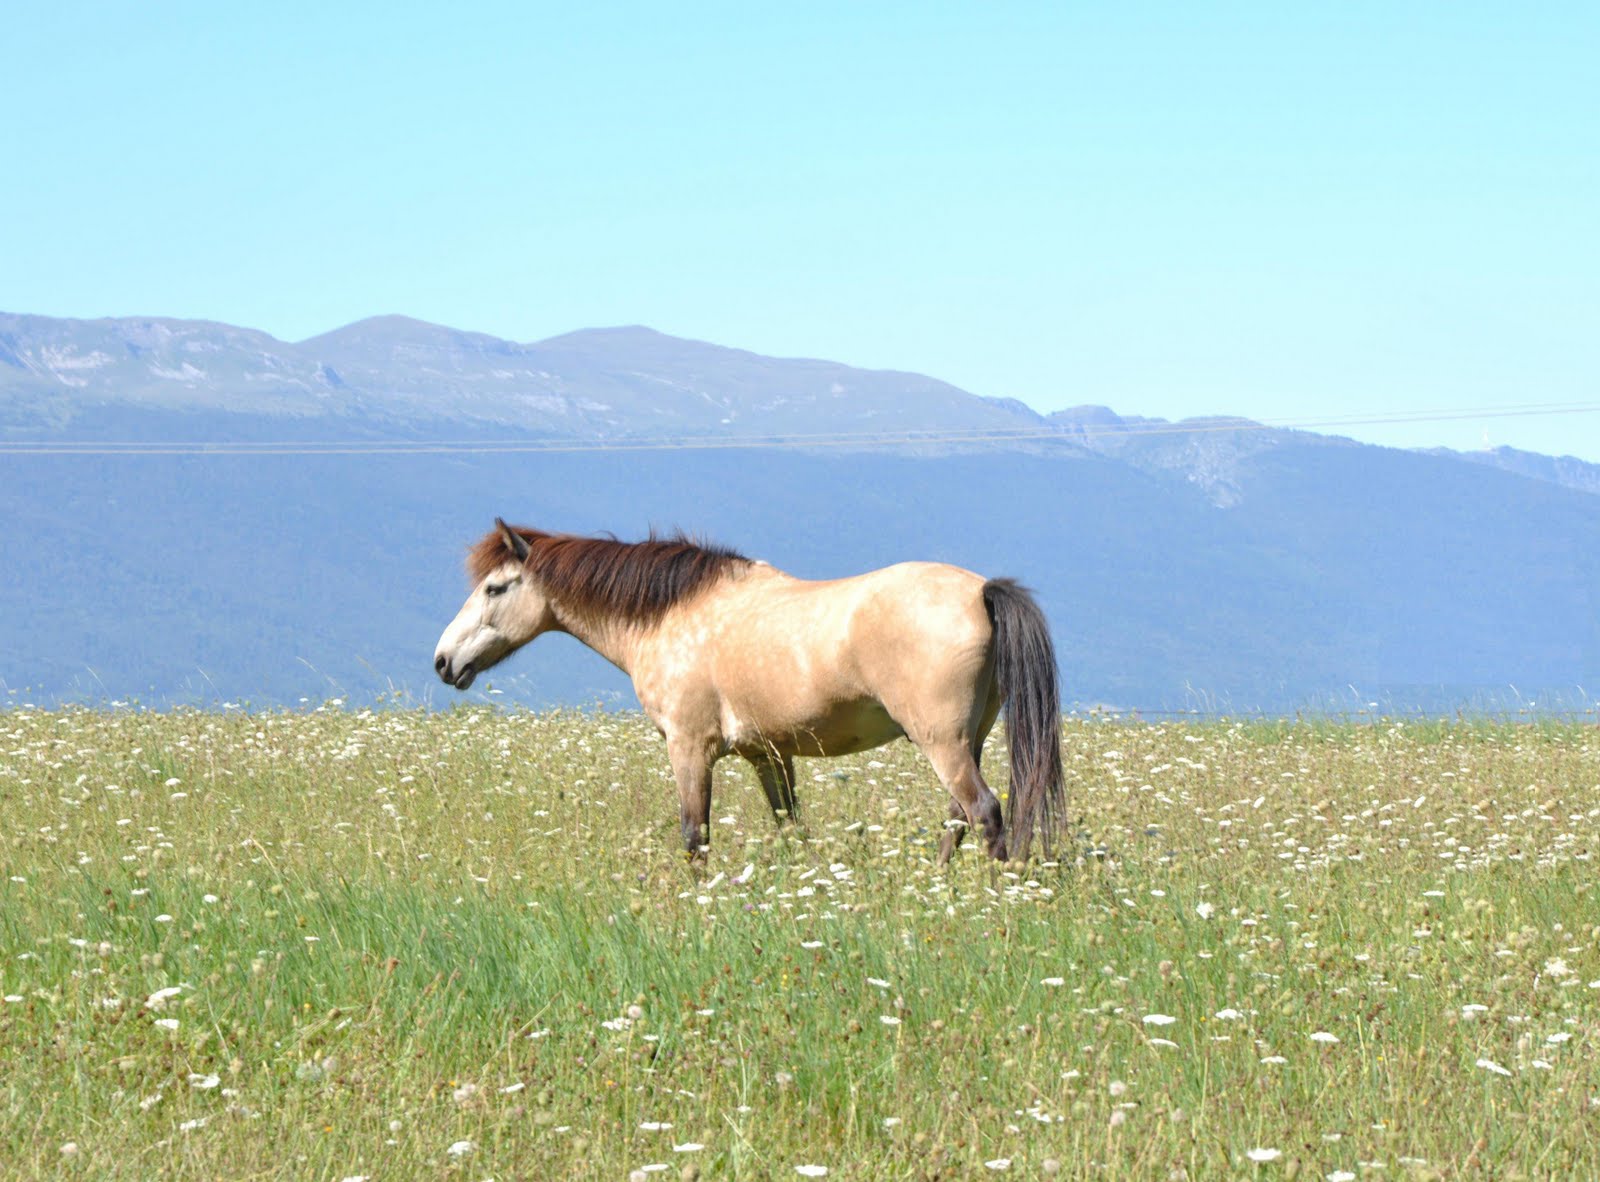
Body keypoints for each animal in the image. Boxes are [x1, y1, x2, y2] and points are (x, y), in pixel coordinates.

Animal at [433, 520, 1065, 864]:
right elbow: (791, 830)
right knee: (957, 818)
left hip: (943, 743)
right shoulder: (770, 756)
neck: (672, 613)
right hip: (968, 740)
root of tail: (982, 591)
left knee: (984, 812)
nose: (444, 661)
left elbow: (695, 834)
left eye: (494, 588)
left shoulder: (689, 749)